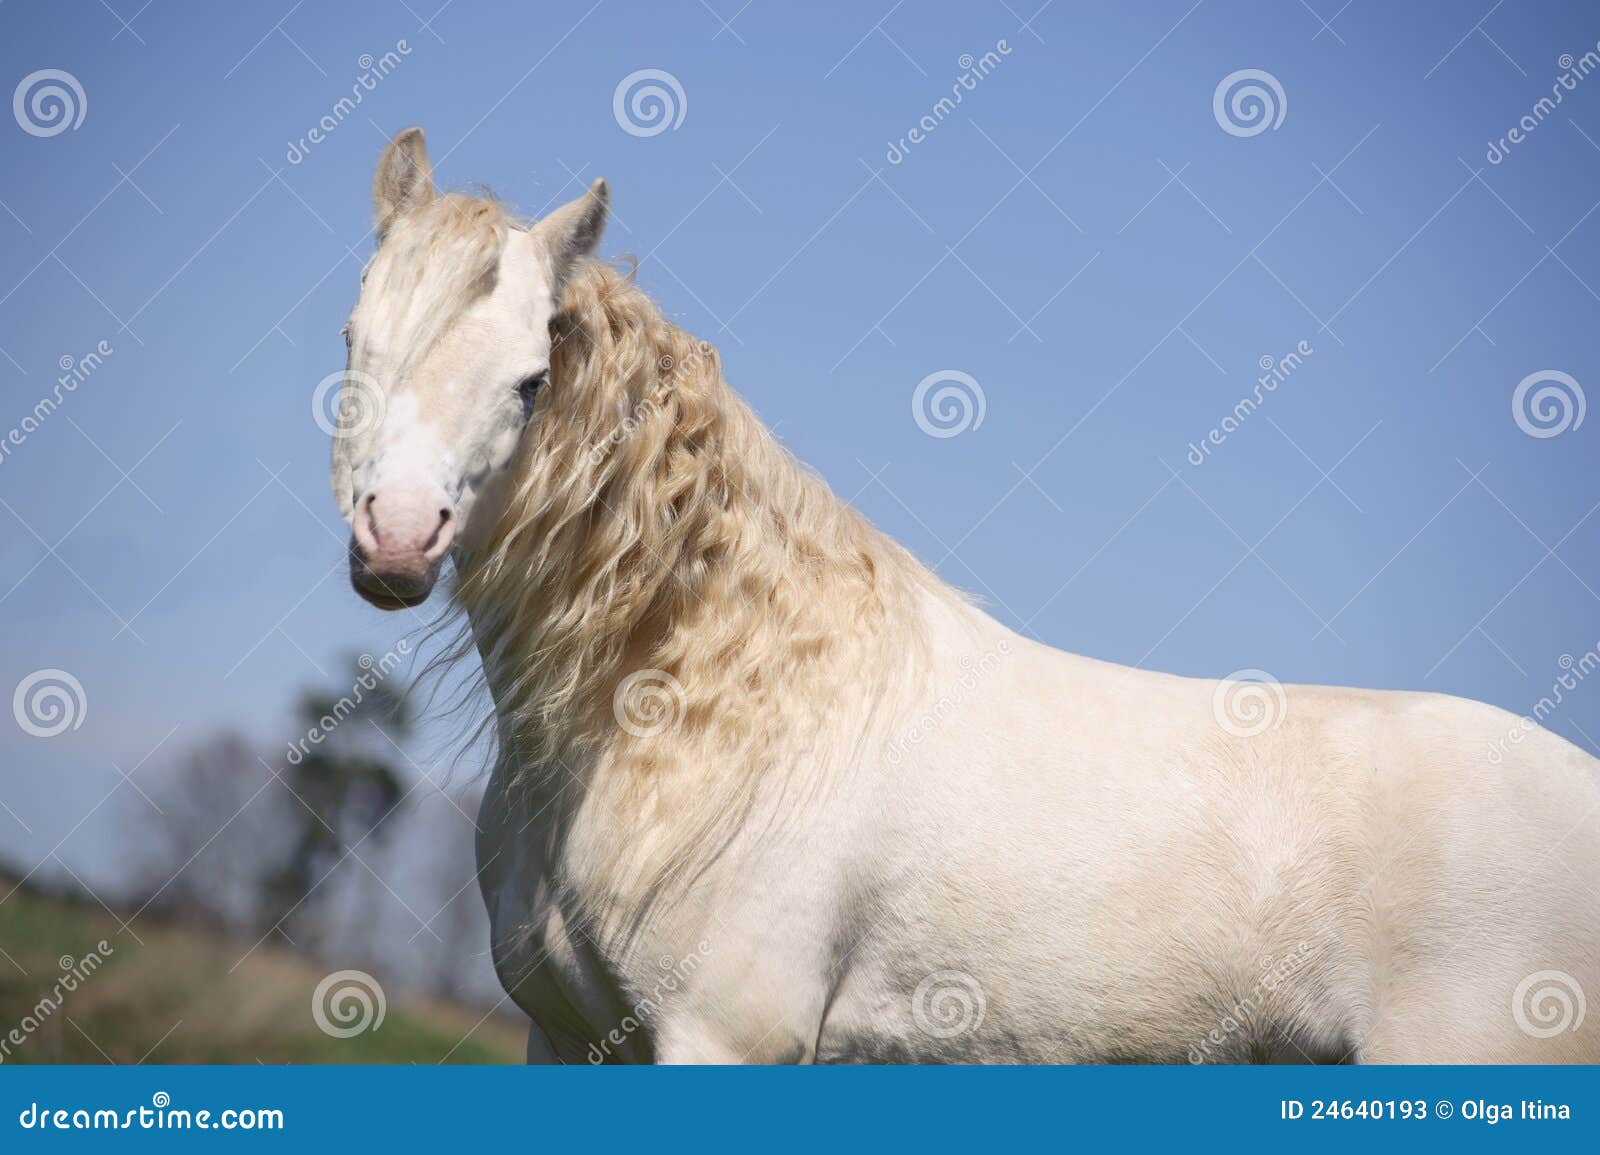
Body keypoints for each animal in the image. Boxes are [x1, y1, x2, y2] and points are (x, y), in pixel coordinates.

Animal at [329, 127, 1600, 1063]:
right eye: (353, 341)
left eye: (530, 380)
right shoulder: (566, 1040)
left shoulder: (724, 1040)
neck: (713, 705)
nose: (395, 540)